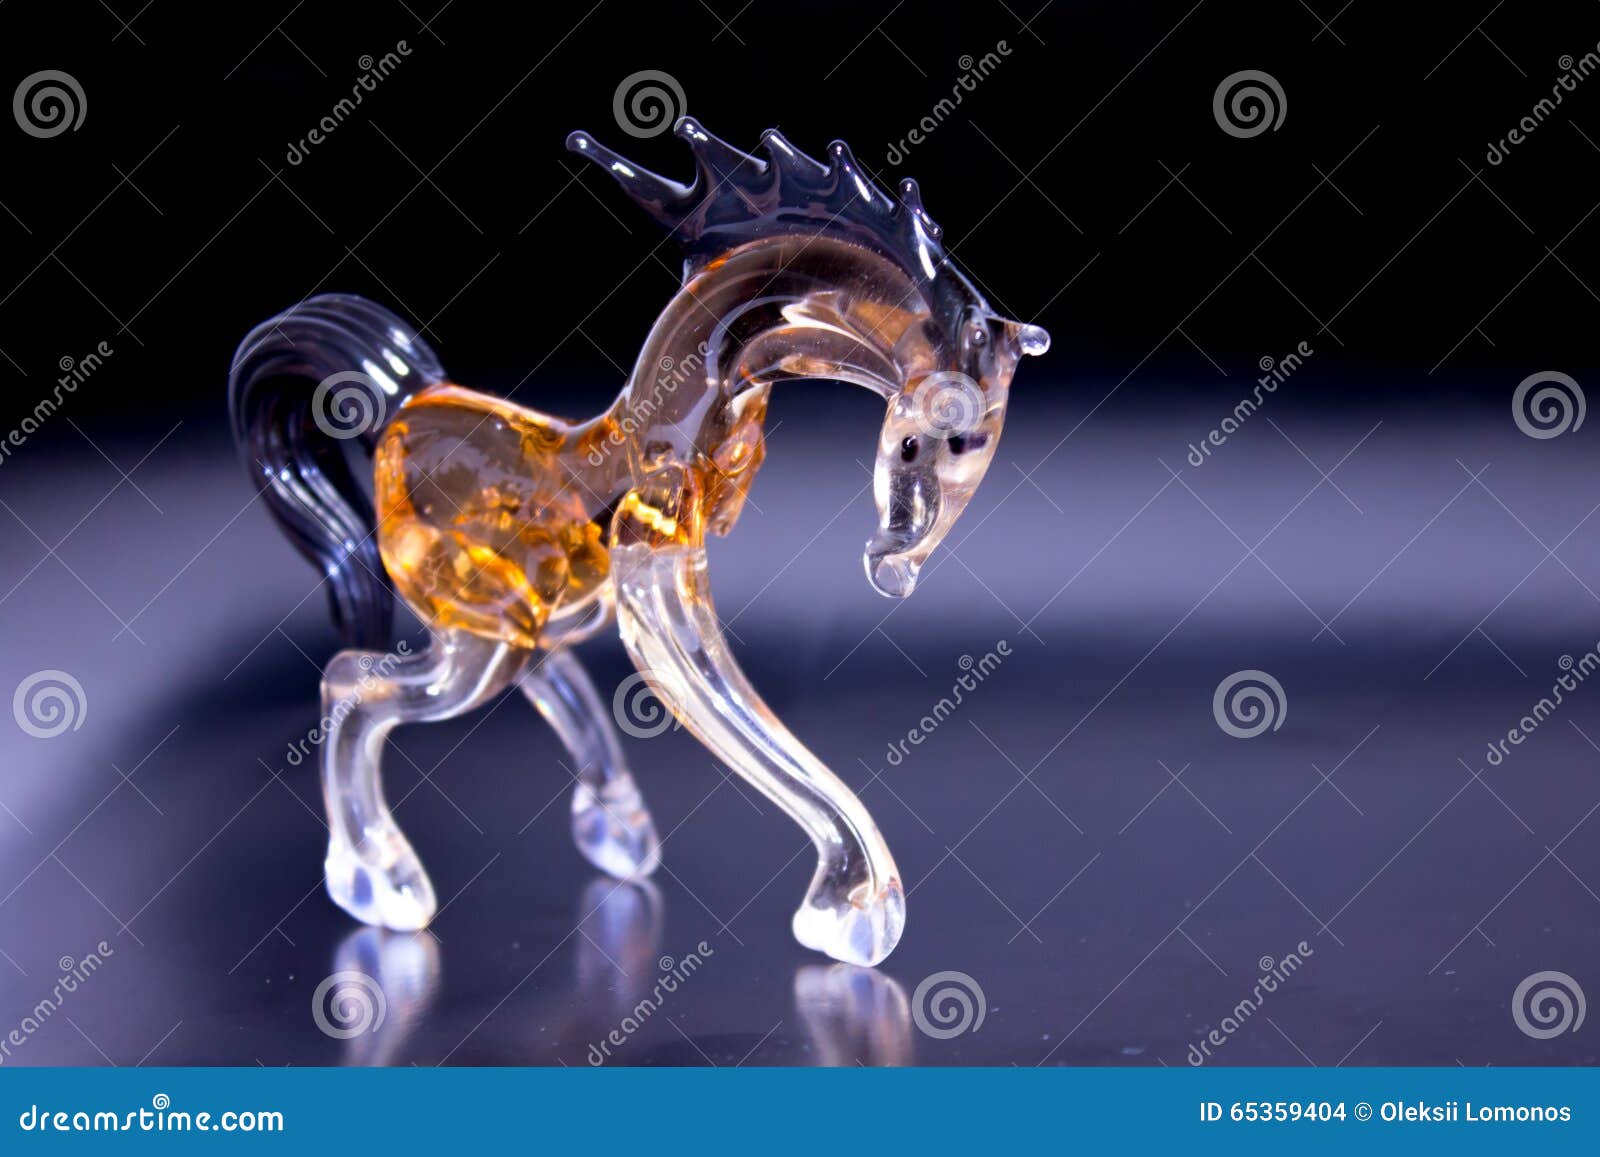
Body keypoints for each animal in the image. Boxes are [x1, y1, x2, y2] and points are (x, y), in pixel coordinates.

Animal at [228, 118, 1049, 966]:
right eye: (920, 442)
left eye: (981, 454)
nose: (893, 567)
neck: (669, 428)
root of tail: (397, 406)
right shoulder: (657, 586)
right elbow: (747, 726)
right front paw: (852, 902)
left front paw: (849, 897)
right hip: (477, 635)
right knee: (351, 684)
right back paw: (380, 880)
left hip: (528, 622)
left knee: (547, 679)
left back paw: (614, 828)